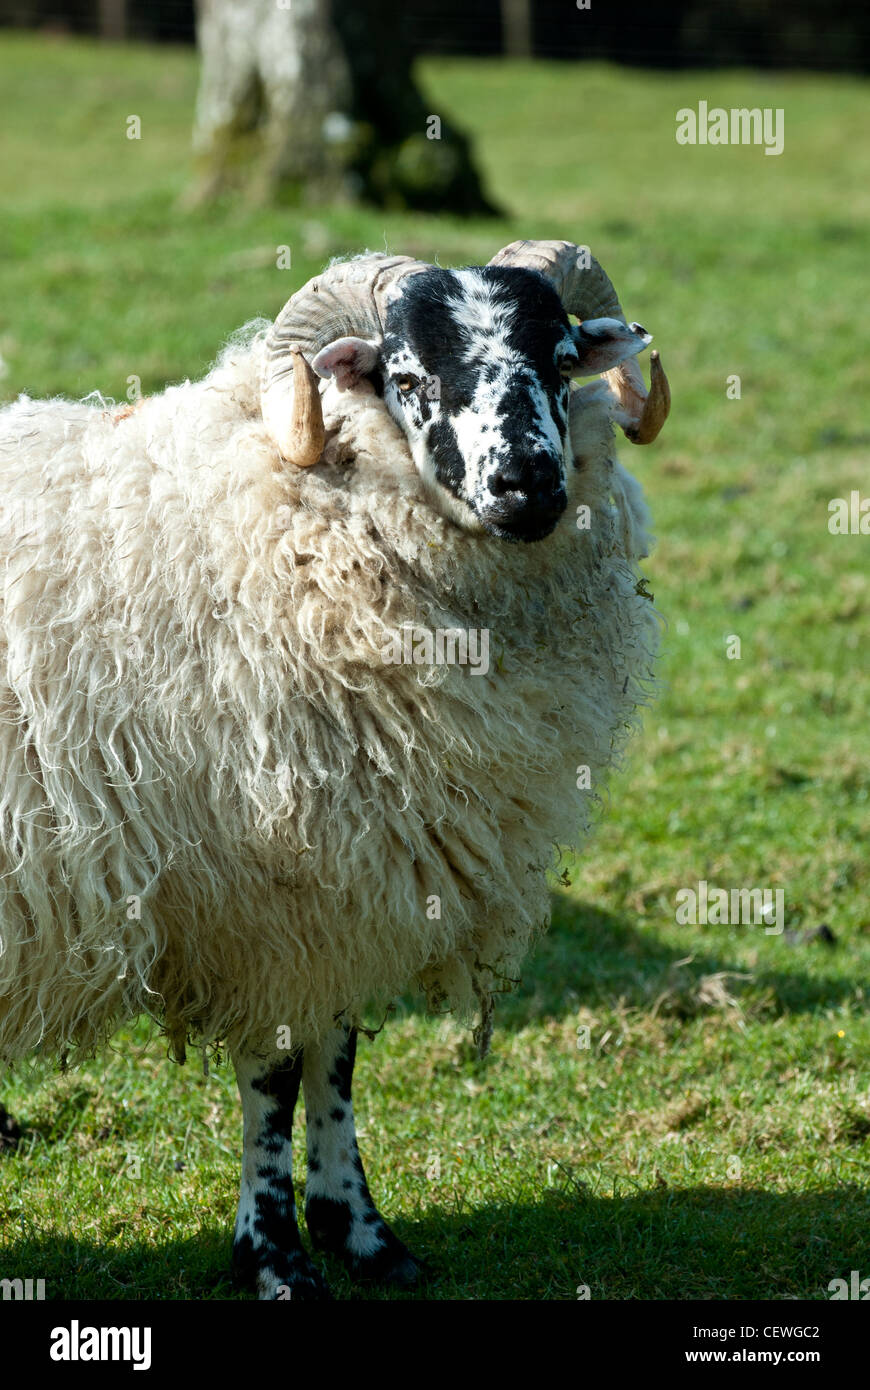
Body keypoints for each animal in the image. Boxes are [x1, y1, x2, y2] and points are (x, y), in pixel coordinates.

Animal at [0, 239, 669, 1299]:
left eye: (563, 361)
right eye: (407, 377)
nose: (529, 486)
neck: (300, 505)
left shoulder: (354, 882)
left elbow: (339, 1061)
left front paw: (359, 1230)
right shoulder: (270, 904)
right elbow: (275, 1079)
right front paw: (274, 1255)